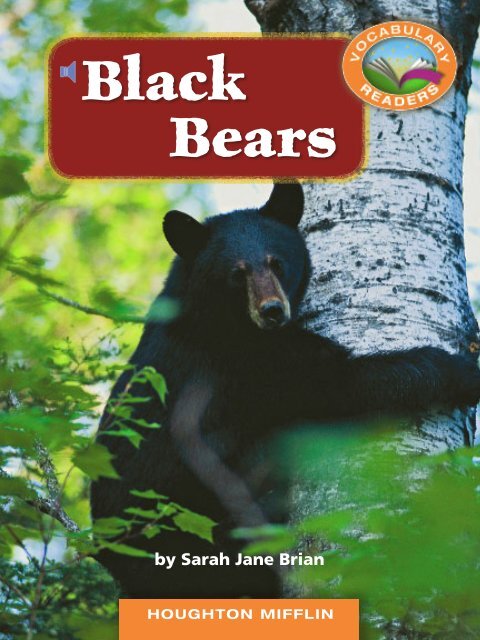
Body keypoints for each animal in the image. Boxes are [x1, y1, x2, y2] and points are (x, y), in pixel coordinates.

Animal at [91, 182, 480, 598]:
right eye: (237, 273)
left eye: (276, 262)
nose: (272, 311)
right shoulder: (244, 364)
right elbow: (339, 384)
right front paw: (462, 371)